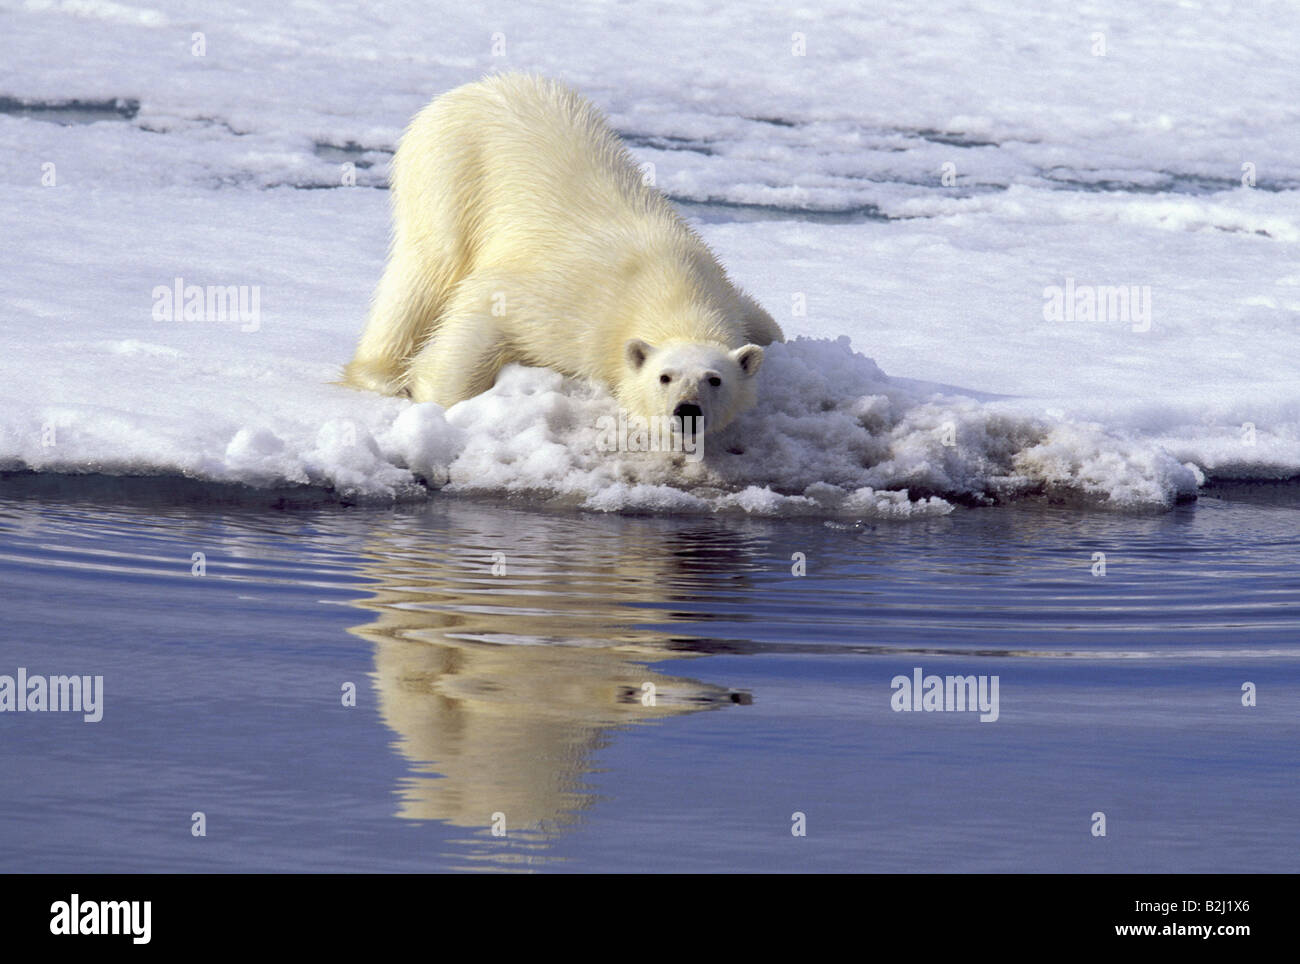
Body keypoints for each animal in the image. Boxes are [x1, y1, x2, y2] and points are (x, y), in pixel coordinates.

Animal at [342, 72, 783, 437]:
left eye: (715, 378)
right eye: (665, 376)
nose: (687, 411)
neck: (670, 286)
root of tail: (477, 86)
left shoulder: (725, 288)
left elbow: (767, 324)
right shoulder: (577, 304)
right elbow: (484, 311)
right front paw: (435, 393)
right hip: (448, 169)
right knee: (428, 265)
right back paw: (379, 373)